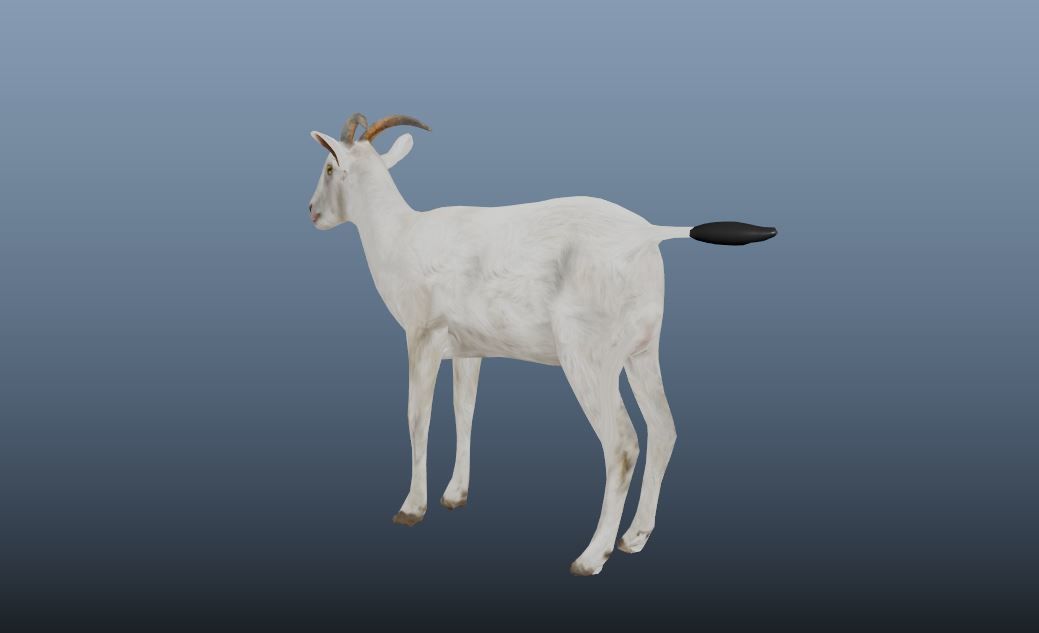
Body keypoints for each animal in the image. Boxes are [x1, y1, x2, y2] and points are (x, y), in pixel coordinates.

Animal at [307, 113, 776, 575]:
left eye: (329, 167)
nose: (311, 211)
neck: (402, 237)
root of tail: (646, 235)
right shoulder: (469, 351)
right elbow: (464, 412)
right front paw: (455, 495)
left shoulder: (421, 337)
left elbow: (417, 417)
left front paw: (411, 509)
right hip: (641, 354)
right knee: (664, 429)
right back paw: (634, 539)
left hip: (588, 362)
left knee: (623, 445)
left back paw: (592, 557)